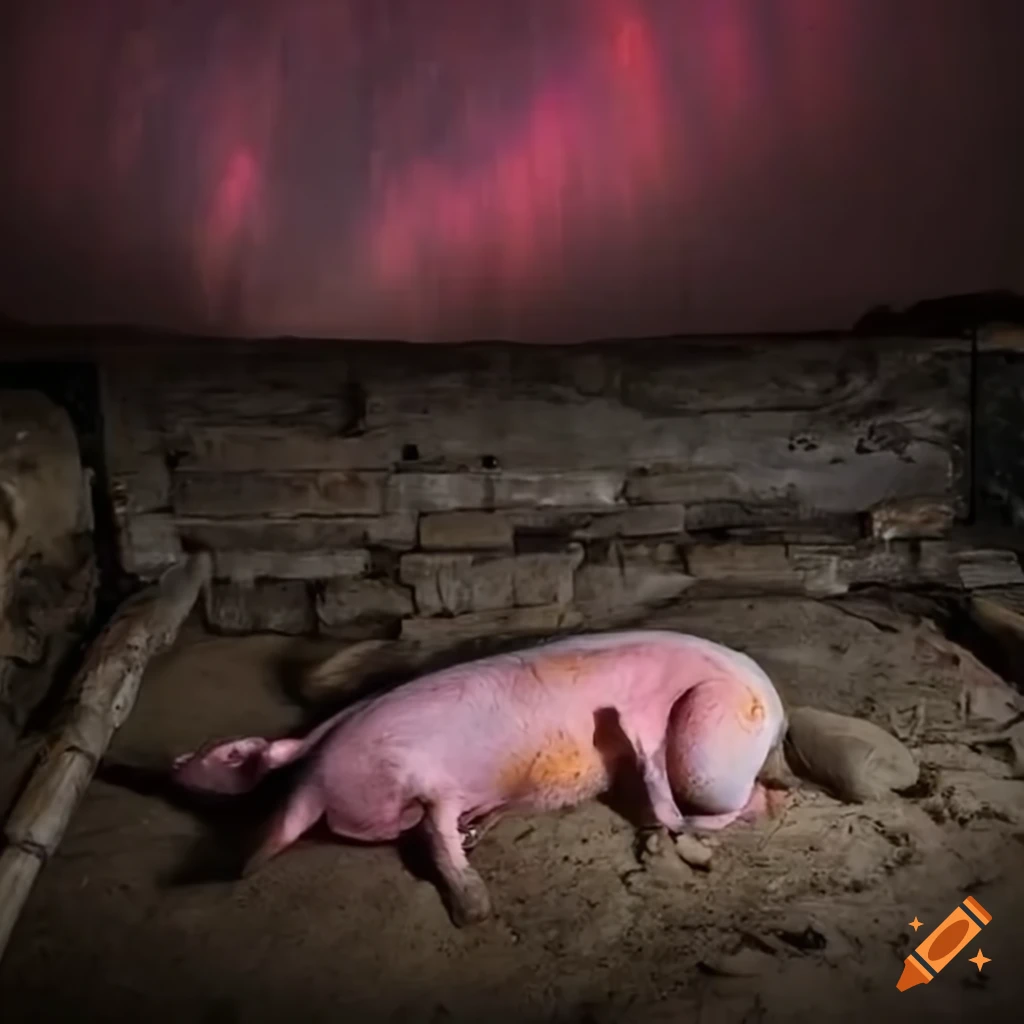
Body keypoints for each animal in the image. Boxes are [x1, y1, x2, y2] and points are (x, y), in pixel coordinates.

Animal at [172, 629, 786, 926]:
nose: (176, 762)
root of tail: (775, 706)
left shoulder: (426, 781)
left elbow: (437, 835)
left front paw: (473, 910)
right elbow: (441, 829)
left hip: (709, 740)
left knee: (754, 799)